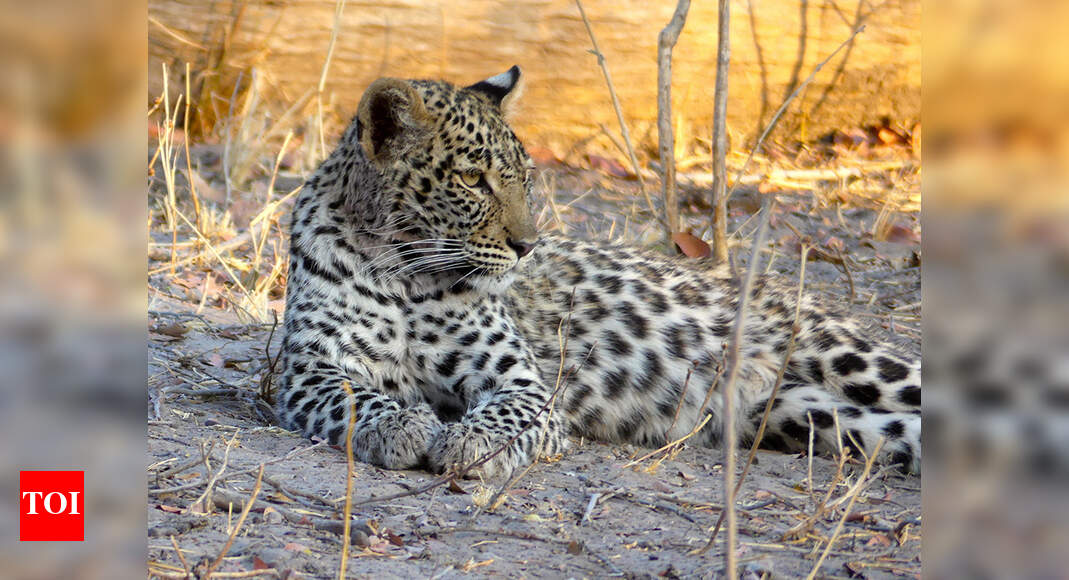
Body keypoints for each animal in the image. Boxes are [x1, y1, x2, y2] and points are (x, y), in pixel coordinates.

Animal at [276, 66, 921, 479]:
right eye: (472, 180)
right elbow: (355, 395)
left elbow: (507, 415)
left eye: (524, 179)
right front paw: (401, 427)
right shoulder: (307, 368)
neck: (409, 278)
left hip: (849, 359)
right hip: (812, 417)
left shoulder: (523, 382)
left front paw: (468, 442)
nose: (527, 245)